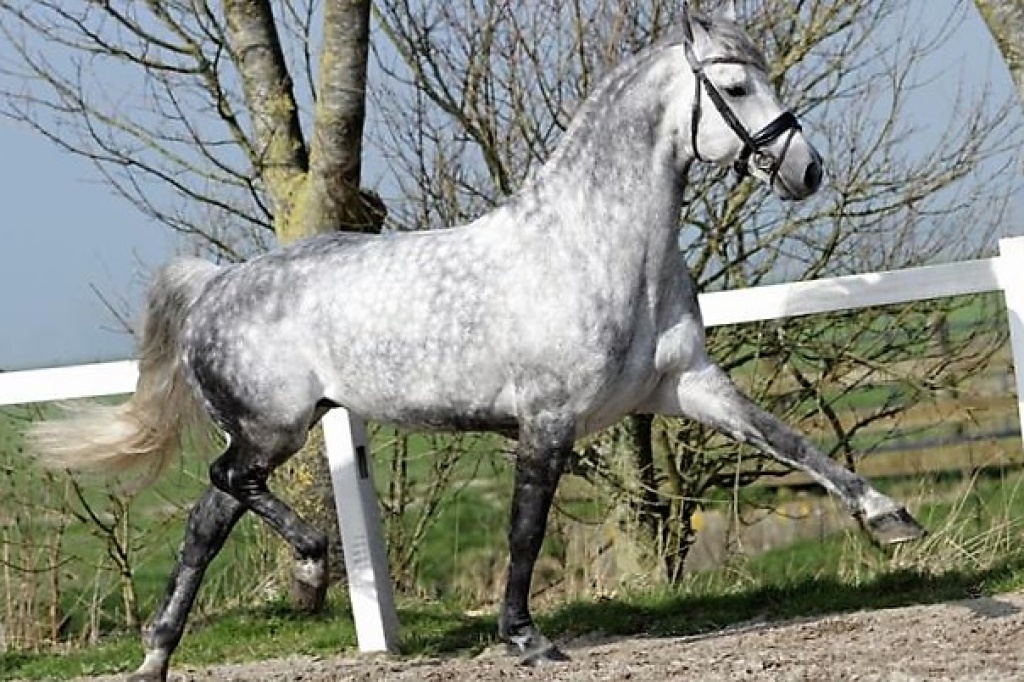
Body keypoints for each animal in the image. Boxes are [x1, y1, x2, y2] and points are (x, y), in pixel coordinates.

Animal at [29, 3, 925, 680]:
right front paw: (526, 637)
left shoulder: (688, 384)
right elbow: (526, 527)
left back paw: (158, 656)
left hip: (273, 428)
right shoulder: (548, 419)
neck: (596, 250)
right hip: (270, 426)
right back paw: (313, 561)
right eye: (735, 83)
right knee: (225, 487)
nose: (806, 170)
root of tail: (216, 283)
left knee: (205, 522)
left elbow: (787, 439)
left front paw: (890, 519)